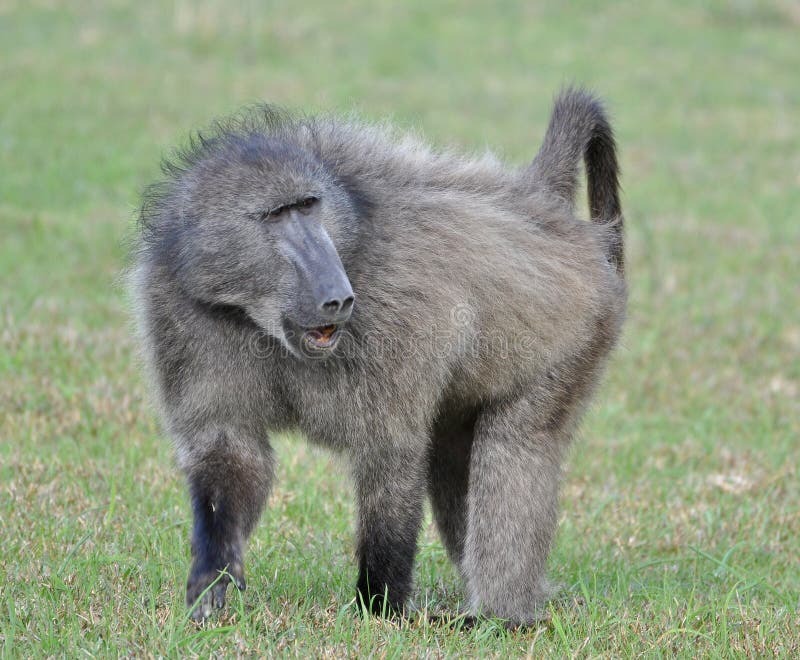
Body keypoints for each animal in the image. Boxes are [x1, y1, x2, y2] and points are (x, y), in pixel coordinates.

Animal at [130, 88, 626, 626]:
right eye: (277, 214)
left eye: (309, 206)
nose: (337, 298)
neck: (257, 321)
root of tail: (539, 203)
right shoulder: (181, 314)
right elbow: (231, 452)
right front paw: (213, 575)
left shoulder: (397, 315)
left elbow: (390, 455)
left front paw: (380, 606)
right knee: (452, 458)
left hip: (576, 333)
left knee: (516, 447)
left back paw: (500, 616)